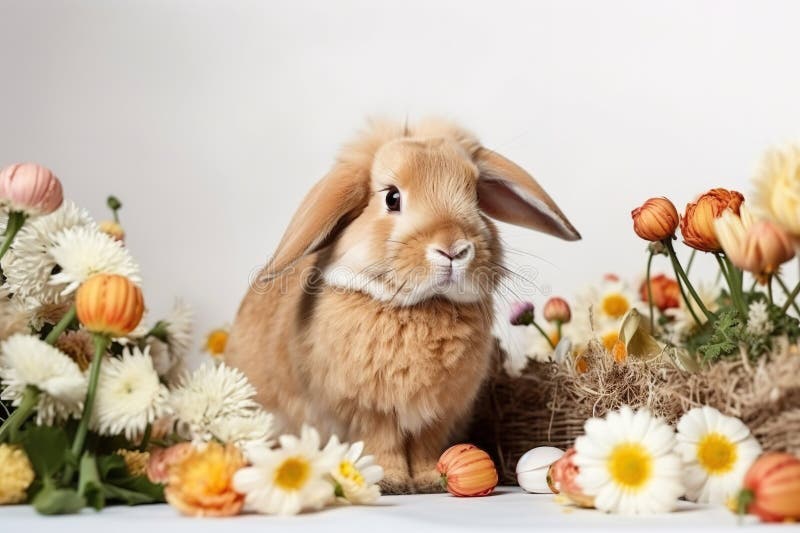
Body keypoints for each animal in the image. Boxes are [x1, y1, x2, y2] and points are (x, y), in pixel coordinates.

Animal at [224, 118, 580, 493]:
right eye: (392, 198)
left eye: (475, 195)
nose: (454, 249)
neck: (419, 306)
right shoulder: (369, 412)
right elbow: (382, 444)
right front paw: (390, 480)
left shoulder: (436, 414)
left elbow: (425, 446)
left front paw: (430, 480)